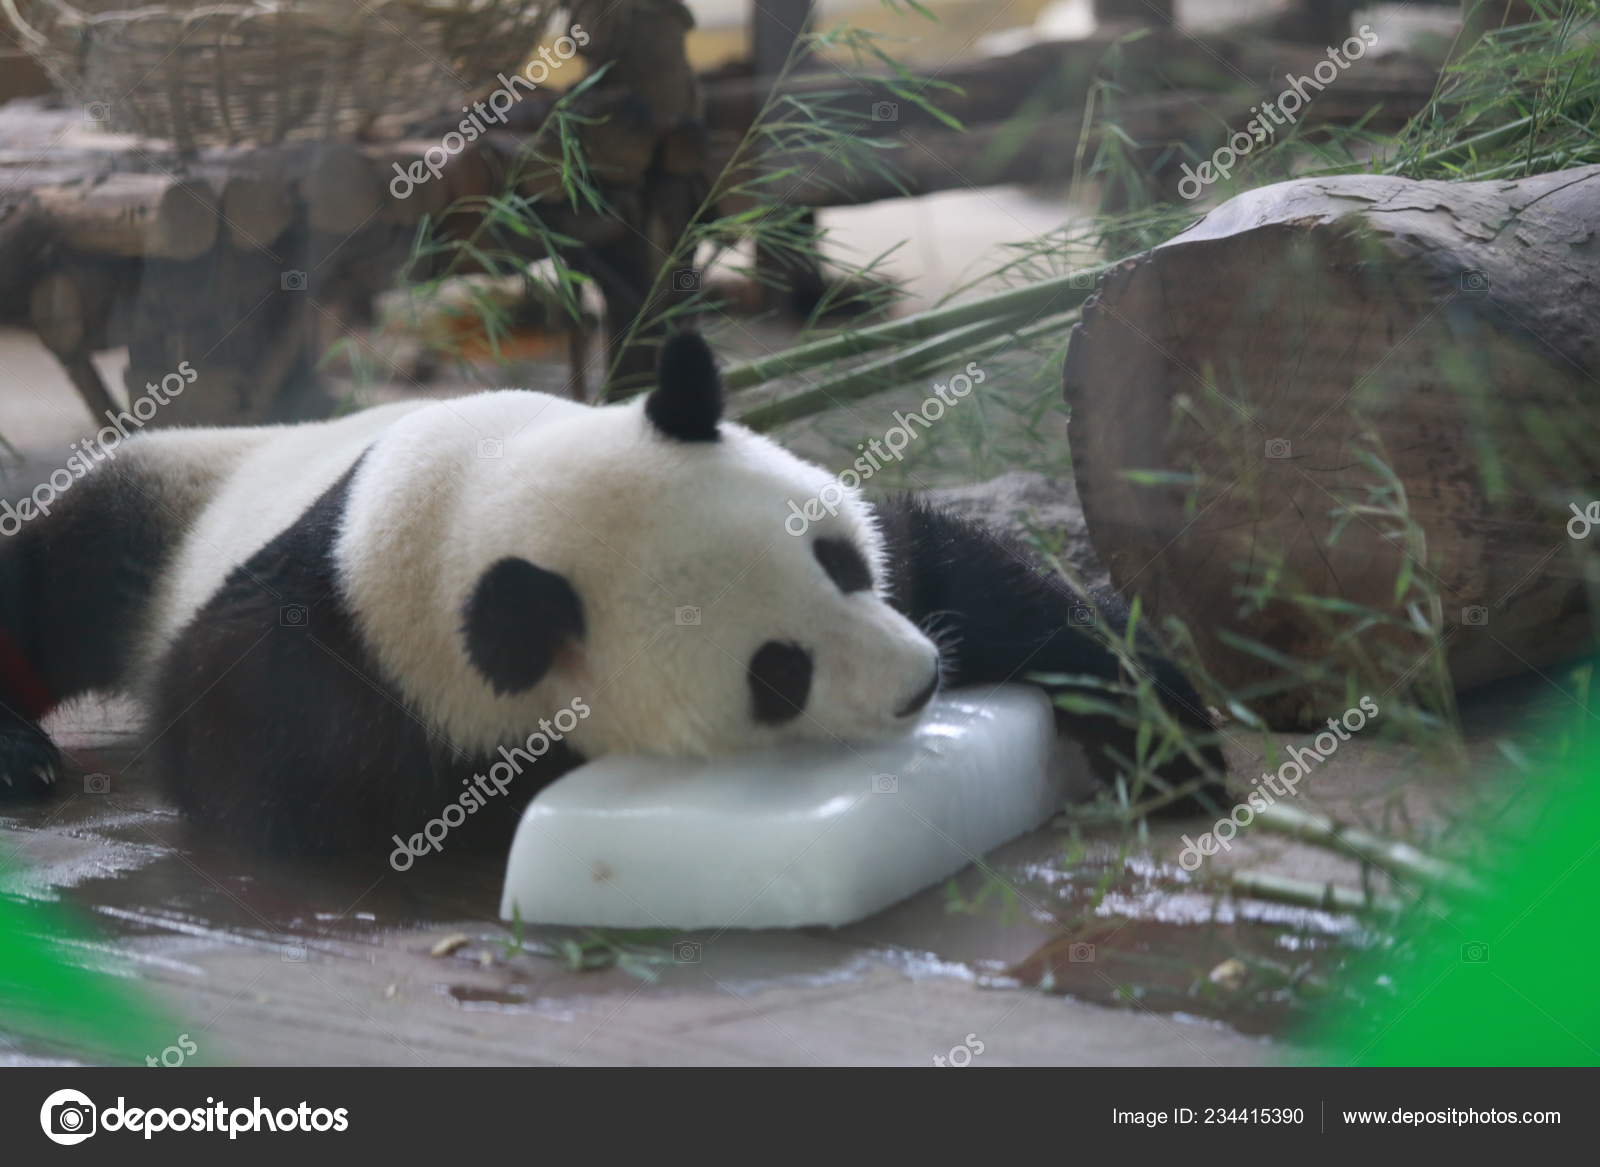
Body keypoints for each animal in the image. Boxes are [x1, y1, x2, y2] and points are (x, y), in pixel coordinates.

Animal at [0, 332, 1223, 855]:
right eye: (775, 672)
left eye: (838, 561)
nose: (922, 683)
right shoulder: (310, 651)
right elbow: (267, 775)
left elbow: (957, 564)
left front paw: (1163, 733)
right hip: (159, 494)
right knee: (50, 579)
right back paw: (23, 754)